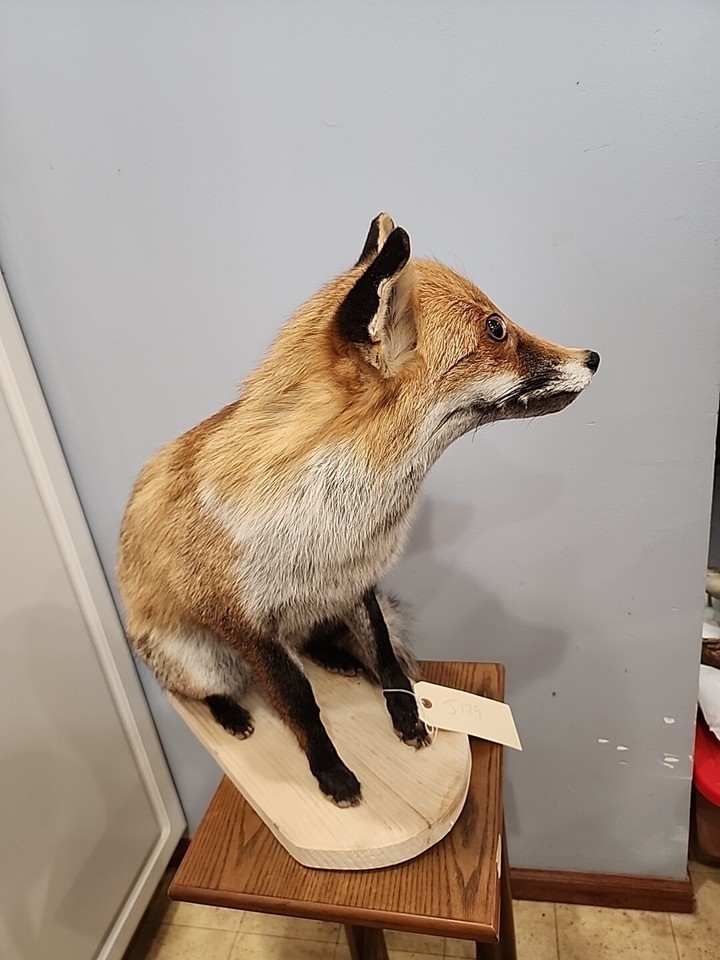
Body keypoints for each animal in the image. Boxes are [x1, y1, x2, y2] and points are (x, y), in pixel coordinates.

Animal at [117, 213, 599, 807]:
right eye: (495, 329)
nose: (593, 357)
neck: (339, 523)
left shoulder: (358, 582)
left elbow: (388, 658)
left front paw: (409, 719)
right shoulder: (249, 627)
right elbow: (299, 705)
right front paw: (331, 773)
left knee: (323, 644)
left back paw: (338, 659)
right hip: (201, 660)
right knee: (202, 690)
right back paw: (231, 713)